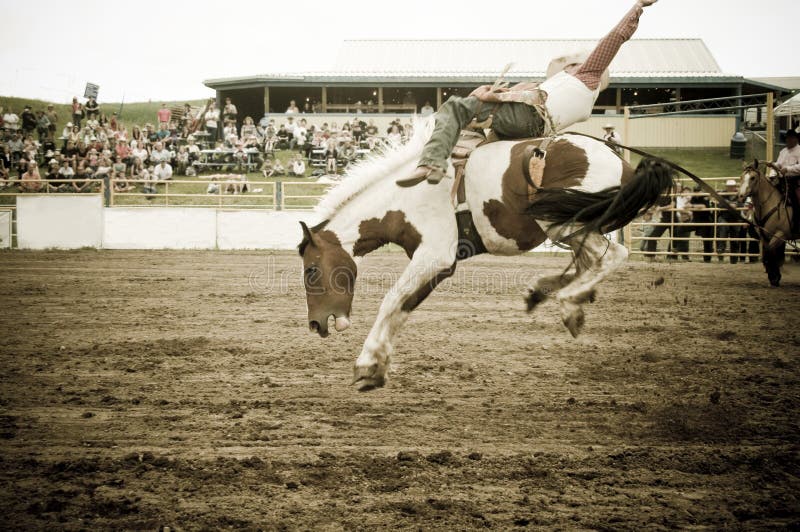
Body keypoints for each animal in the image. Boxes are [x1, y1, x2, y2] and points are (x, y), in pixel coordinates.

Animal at [296, 118, 672, 388]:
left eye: (310, 270)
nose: (315, 324)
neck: (403, 196)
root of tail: (624, 163)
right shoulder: (437, 264)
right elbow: (403, 309)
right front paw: (376, 366)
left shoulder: (434, 255)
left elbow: (391, 301)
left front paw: (365, 364)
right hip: (570, 226)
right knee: (588, 262)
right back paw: (552, 296)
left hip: (559, 222)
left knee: (612, 255)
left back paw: (567, 303)